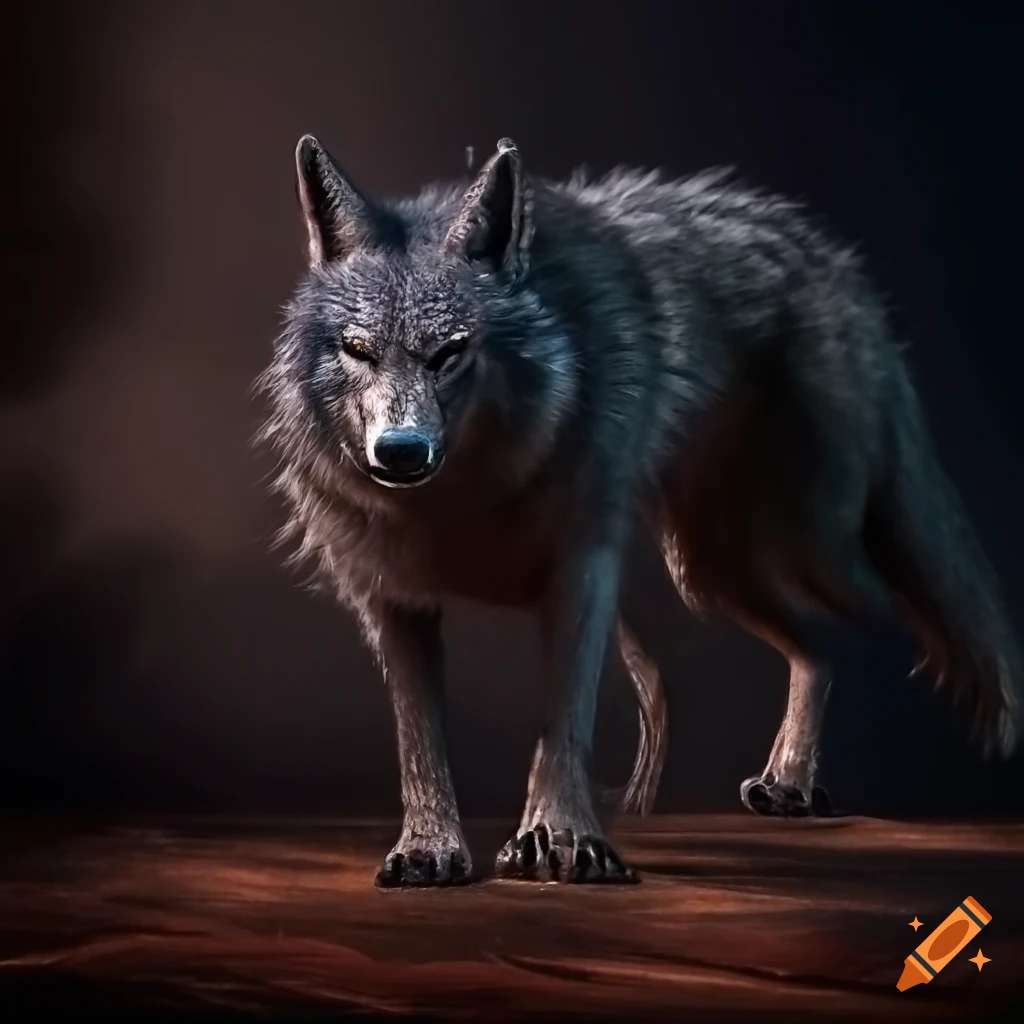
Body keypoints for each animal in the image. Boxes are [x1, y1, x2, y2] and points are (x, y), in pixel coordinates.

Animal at [257, 134, 1021, 887]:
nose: (401, 452)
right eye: (358, 351)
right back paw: (788, 784)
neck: (462, 502)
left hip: (812, 549)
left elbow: (566, 716)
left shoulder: (584, 566)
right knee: (821, 647)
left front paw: (559, 838)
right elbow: (418, 737)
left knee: (894, 618)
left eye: (450, 352)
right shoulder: (392, 596)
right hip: (711, 577)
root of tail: (833, 259)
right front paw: (429, 848)